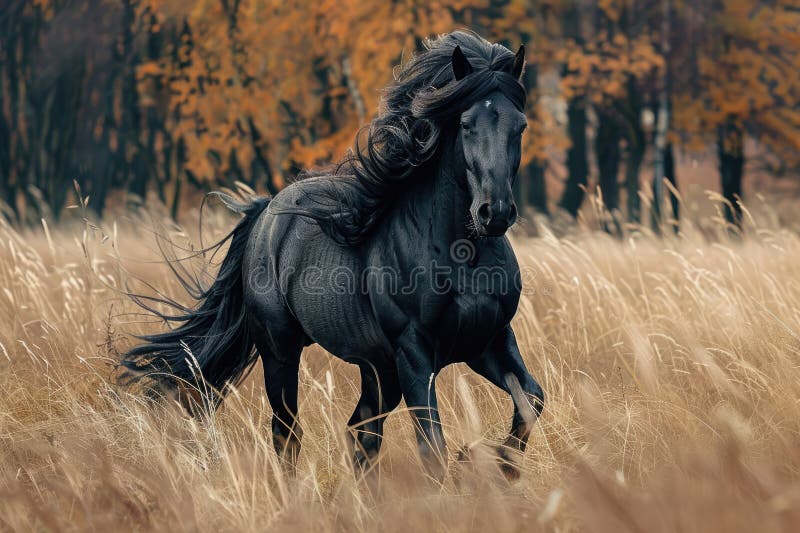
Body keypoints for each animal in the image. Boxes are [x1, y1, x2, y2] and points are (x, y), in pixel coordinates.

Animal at [121, 31, 545, 480]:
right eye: (465, 125)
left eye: (520, 126)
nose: (494, 213)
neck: (462, 253)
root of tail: (266, 212)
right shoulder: (415, 353)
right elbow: (433, 446)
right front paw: (476, 462)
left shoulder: (489, 341)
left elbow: (531, 400)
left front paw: (501, 465)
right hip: (282, 351)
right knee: (288, 431)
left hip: (378, 368)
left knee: (360, 433)